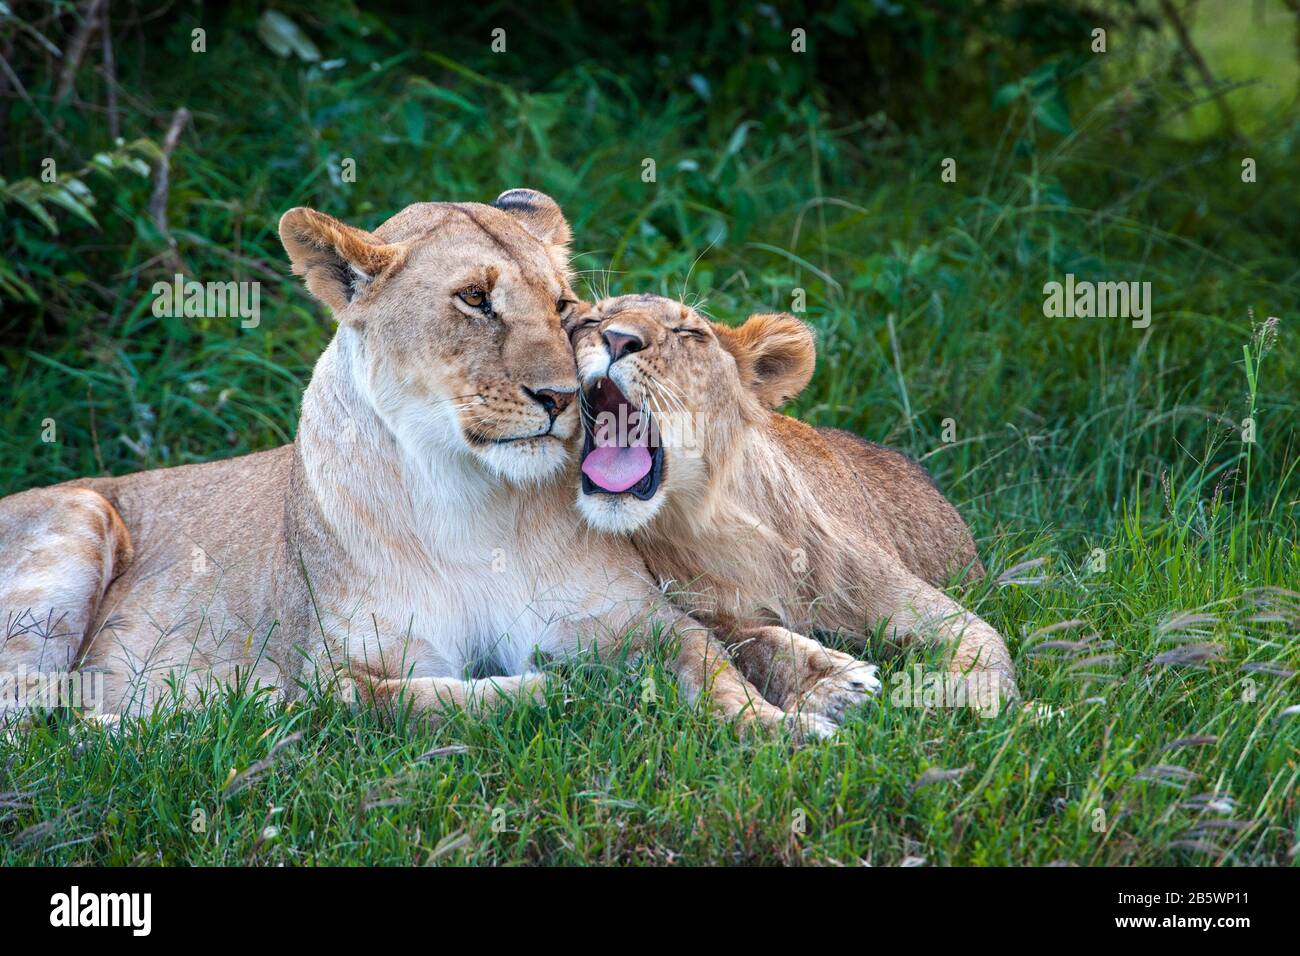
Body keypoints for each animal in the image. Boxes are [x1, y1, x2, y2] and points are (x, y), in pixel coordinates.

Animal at [0, 194, 849, 737]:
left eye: (563, 304)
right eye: (474, 298)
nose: (562, 396)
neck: (471, 500)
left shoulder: (639, 619)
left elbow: (714, 664)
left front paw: (785, 727)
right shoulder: (341, 668)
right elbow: (420, 702)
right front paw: (566, 689)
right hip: (80, 515)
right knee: (37, 724)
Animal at [568, 293, 1019, 709]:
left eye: (688, 332)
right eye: (589, 322)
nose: (618, 338)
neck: (712, 523)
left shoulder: (931, 610)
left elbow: (981, 646)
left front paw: (972, 703)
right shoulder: (706, 616)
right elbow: (757, 641)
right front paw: (833, 680)